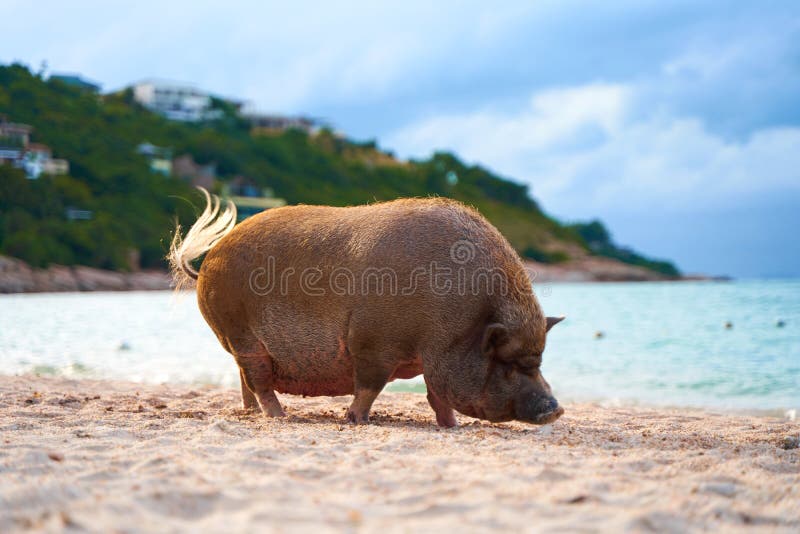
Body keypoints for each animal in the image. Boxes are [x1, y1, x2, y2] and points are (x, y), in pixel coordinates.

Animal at [169, 188, 565, 427]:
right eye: (506, 363)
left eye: (538, 362)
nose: (555, 409)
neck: (460, 318)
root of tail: (206, 262)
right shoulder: (373, 343)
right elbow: (370, 386)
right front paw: (355, 420)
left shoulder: (430, 357)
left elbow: (437, 395)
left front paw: (452, 426)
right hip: (241, 333)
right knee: (258, 381)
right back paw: (282, 417)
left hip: (239, 341)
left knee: (244, 380)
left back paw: (253, 413)